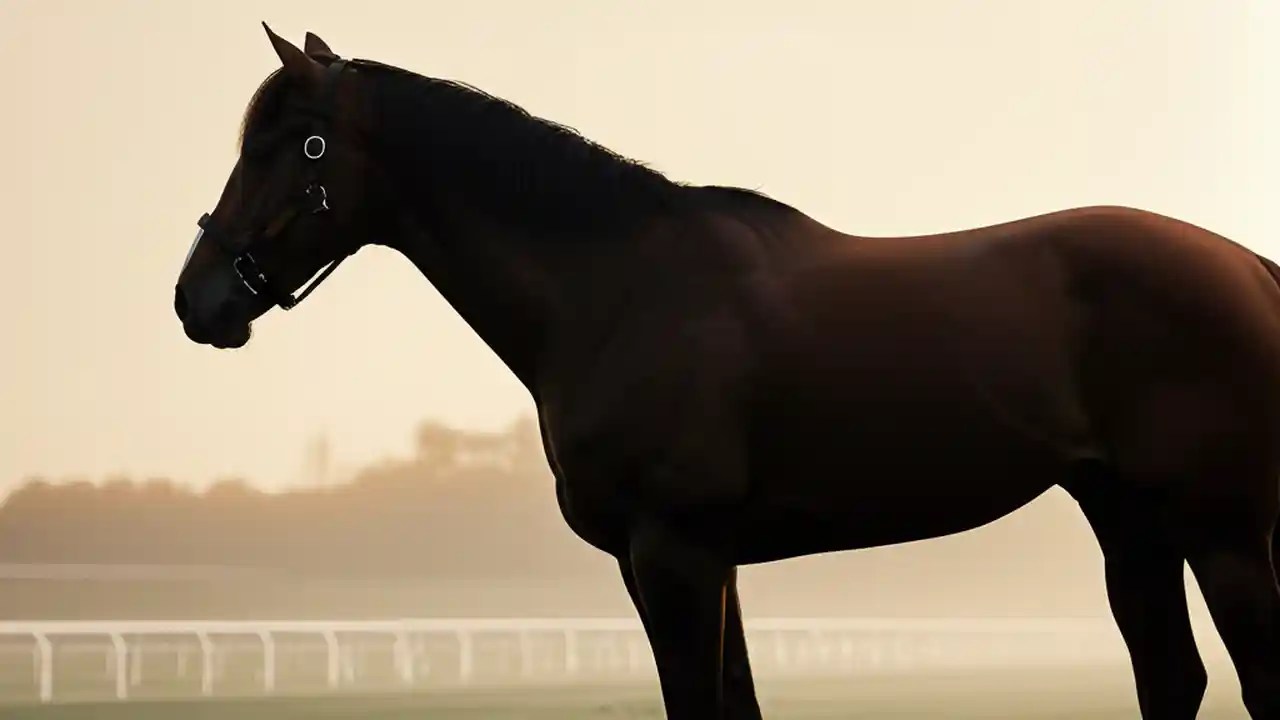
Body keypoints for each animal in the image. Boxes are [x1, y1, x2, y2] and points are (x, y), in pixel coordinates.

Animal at [173, 25, 1280, 719]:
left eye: (302, 144)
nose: (199, 300)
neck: (616, 290)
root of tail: (1248, 266)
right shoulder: (702, 565)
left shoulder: (676, 554)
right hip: (1127, 521)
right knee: (1170, 679)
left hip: (1220, 532)